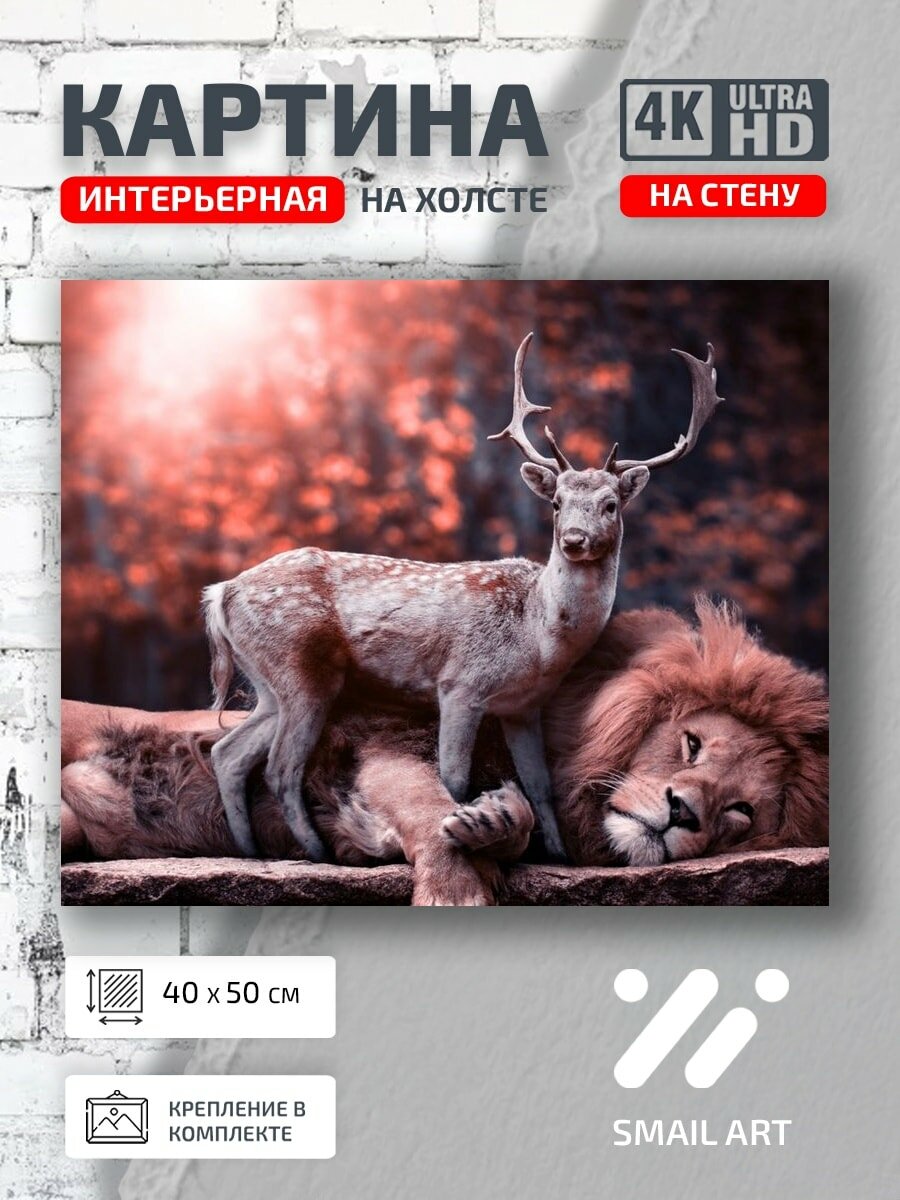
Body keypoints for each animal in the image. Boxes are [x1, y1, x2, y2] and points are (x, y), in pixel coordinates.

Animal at [61, 600, 828, 905]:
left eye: (739, 812)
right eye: (691, 742)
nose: (682, 813)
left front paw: (496, 818)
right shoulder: (385, 741)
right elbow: (431, 813)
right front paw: (457, 887)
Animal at [201, 333, 724, 863]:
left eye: (611, 504)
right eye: (557, 503)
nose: (574, 540)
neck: (538, 638)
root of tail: (221, 592)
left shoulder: (523, 706)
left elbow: (540, 784)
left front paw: (557, 853)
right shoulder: (460, 683)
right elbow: (453, 777)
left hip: (269, 683)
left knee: (228, 753)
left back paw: (250, 849)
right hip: (301, 668)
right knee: (280, 767)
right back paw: (315, 850)